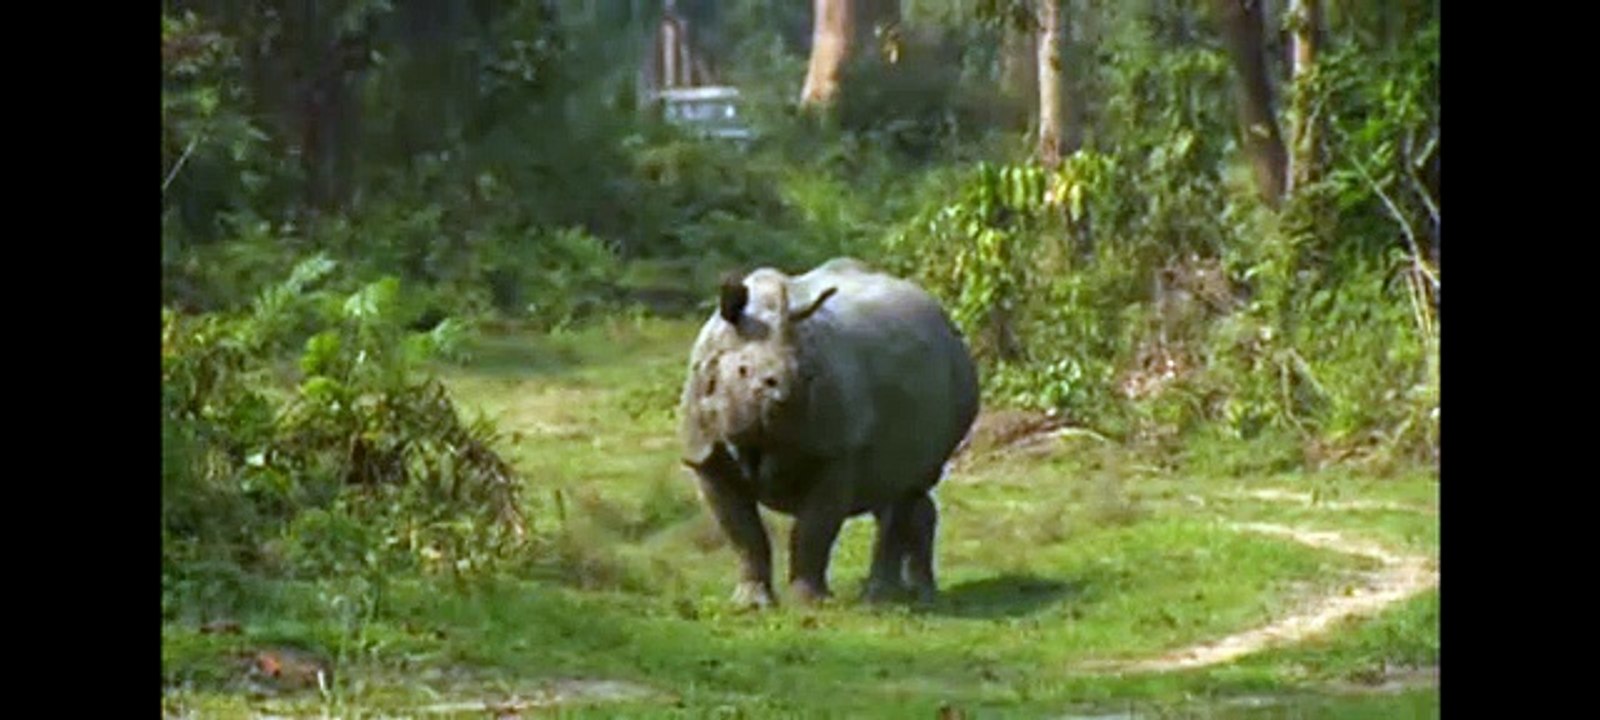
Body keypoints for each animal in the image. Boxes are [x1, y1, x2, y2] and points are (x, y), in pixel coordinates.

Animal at [679, 257, 980, 608]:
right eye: (742, 371)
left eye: (808, 375)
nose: (786, 397)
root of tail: (942, 316)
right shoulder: (704, 453)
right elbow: (743, 534)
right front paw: (749, 605)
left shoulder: (836, 449)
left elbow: (814, 530)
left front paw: (808, 603)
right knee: (896, 488)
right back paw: (912, 594)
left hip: (957, 370)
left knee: (905, 485)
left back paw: (885, 598)